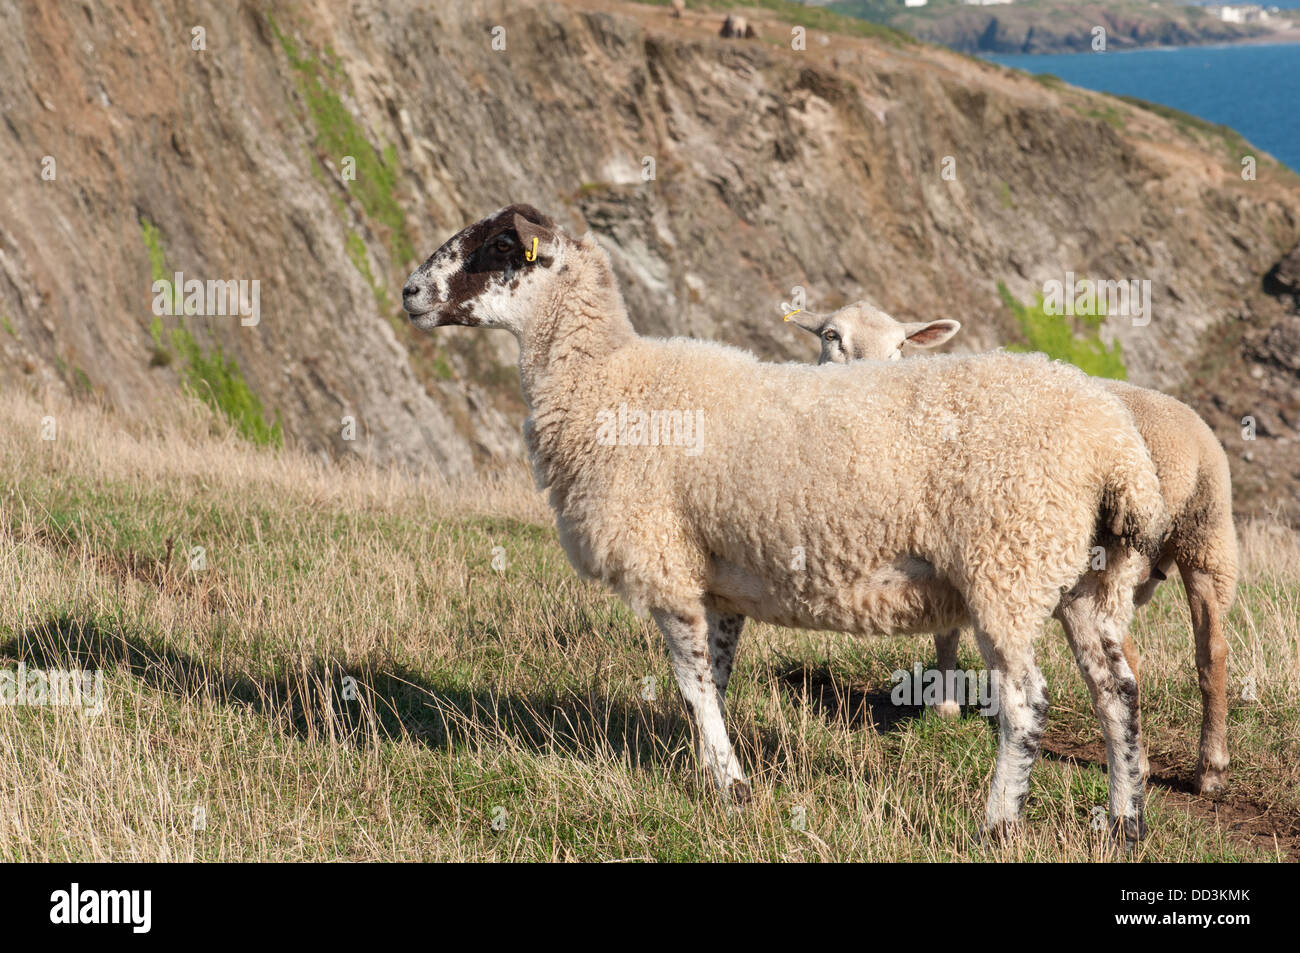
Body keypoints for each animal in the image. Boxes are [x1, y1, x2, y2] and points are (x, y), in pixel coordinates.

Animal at [402, 204, 1168, 840]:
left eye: (500, 248)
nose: (409, 292)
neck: (604, 381)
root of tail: (1115, 445)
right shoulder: (720, 580)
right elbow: (714, 677)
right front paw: (703, 773)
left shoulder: (664, 563)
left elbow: (691, 682)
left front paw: (732, 787)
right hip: (1091, 581)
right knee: (1118, 692)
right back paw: (1125, 822)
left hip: (1006, 564)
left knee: (1027, 704)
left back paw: (997, 826)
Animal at [795, 301, 1238, 794]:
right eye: (832, 336)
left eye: (900, 345)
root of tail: (1184, 446)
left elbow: (945, 631)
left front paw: (943, 708)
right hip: (1206, 535)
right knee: (1212, 650)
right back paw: (1212, 767)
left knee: (1131, 661)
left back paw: (1137, 763)